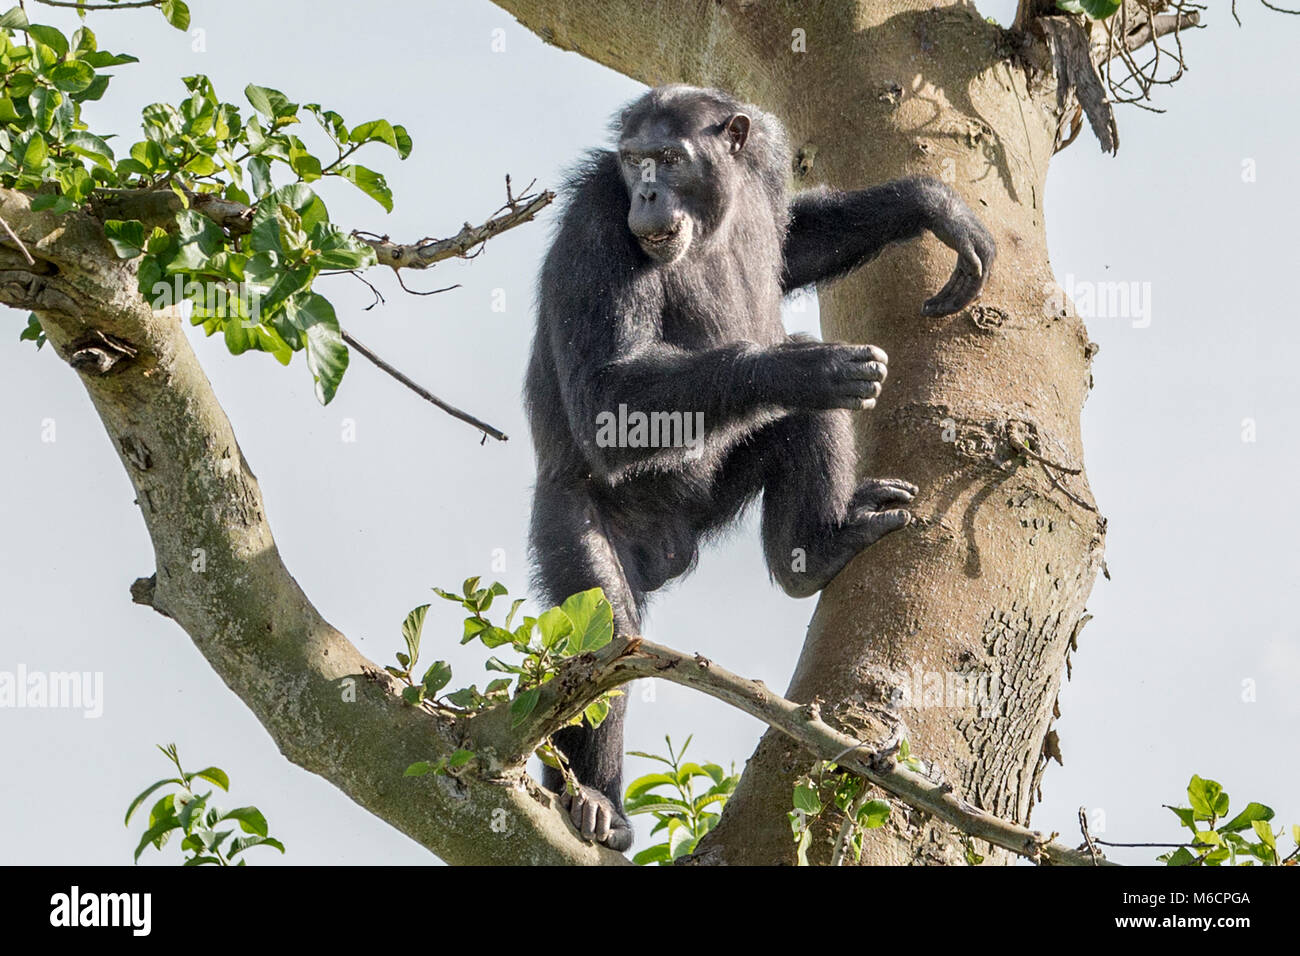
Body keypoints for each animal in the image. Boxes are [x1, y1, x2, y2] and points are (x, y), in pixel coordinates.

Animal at [524, 85, 995, 850]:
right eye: (633, 160)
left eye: (668, 158)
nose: (646, 190)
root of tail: (670, 552)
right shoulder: (593, 222)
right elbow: (606, 396)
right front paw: (806, 363)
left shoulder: (769, 166)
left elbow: (794, 239)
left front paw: (933, 205)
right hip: (572, 519)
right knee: (604, 634)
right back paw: (592, 798)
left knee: (799, 425)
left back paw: (817, 548)